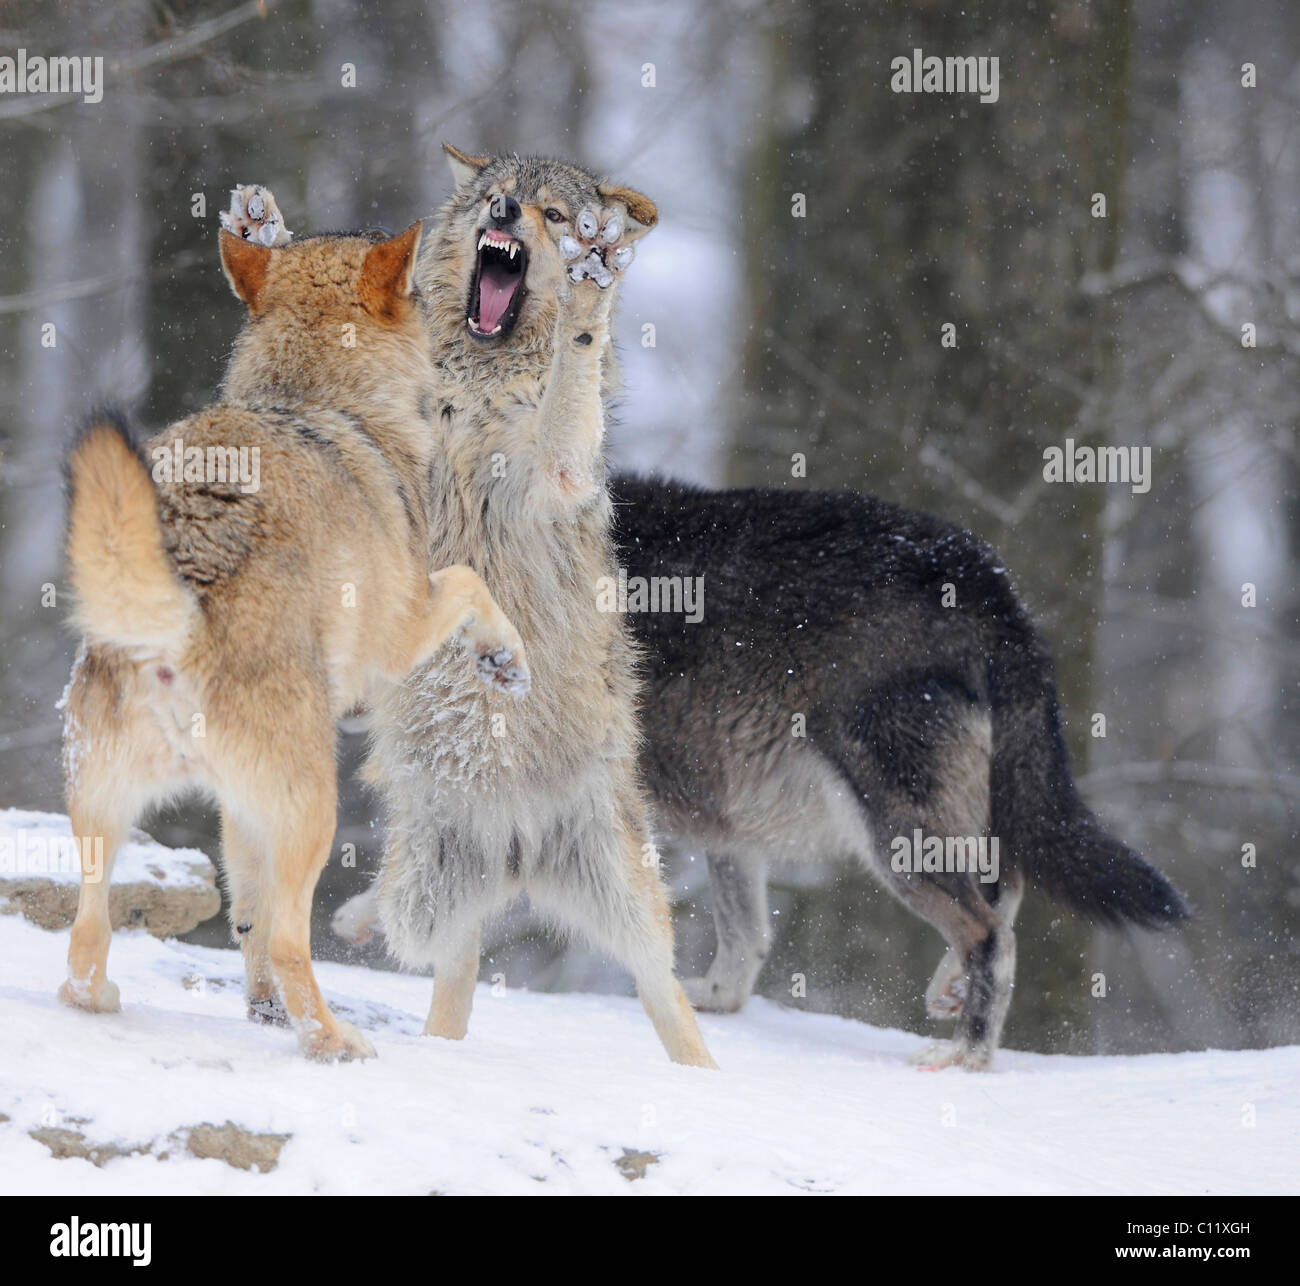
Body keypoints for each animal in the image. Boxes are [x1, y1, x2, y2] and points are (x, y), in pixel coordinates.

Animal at [58, 222, 529, 1061]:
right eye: (417, 289)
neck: (315, 402)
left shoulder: (236, 817)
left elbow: (243, 920)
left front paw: (260, 1011)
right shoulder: (406, 626)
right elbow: (473, 582)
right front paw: (505, 658)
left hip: (105, 817)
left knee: (87, 944)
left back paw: (107, 998)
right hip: (315, 813)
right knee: (288, 941)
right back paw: (336, 1044)